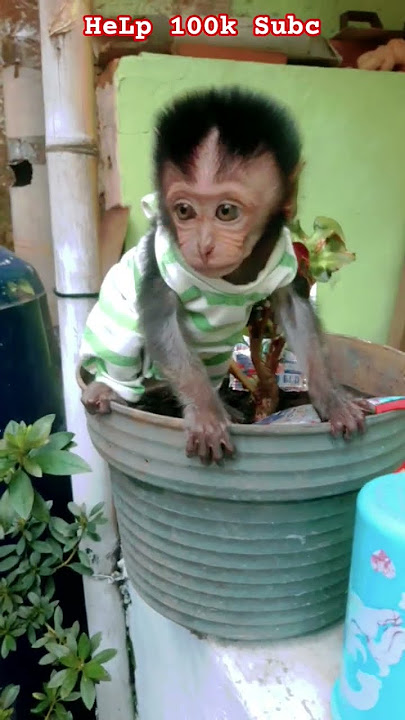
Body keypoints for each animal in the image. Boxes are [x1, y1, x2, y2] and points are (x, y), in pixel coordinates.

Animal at [79, 86, 370, 464]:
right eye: (184, 211)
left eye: (226, 212)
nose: (202, 245)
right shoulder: (161, 260)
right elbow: (161, 322)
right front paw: (205, 414)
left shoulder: (285, 255)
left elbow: (296, 314)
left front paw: (332, 400)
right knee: (122, 341)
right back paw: (109, 388)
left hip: (217, 353)